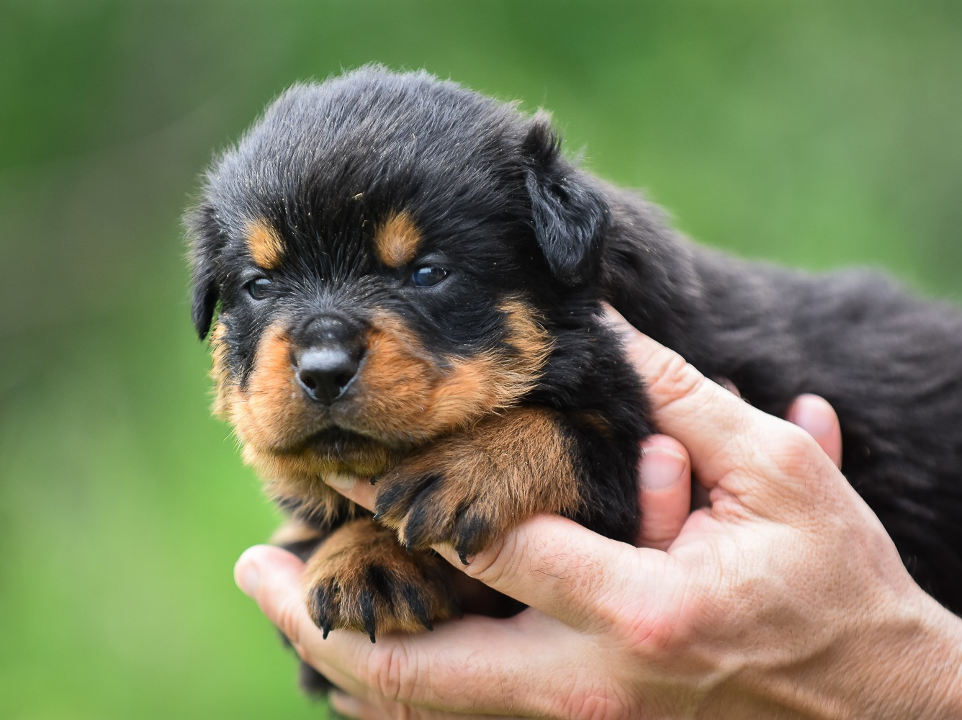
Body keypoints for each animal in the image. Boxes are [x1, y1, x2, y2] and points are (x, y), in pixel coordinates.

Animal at [188, 67, 960, 660]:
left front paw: (471, 465)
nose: (321, 369)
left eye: (428, 273)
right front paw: (362, 554)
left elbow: (585, 437)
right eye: (259, 286)